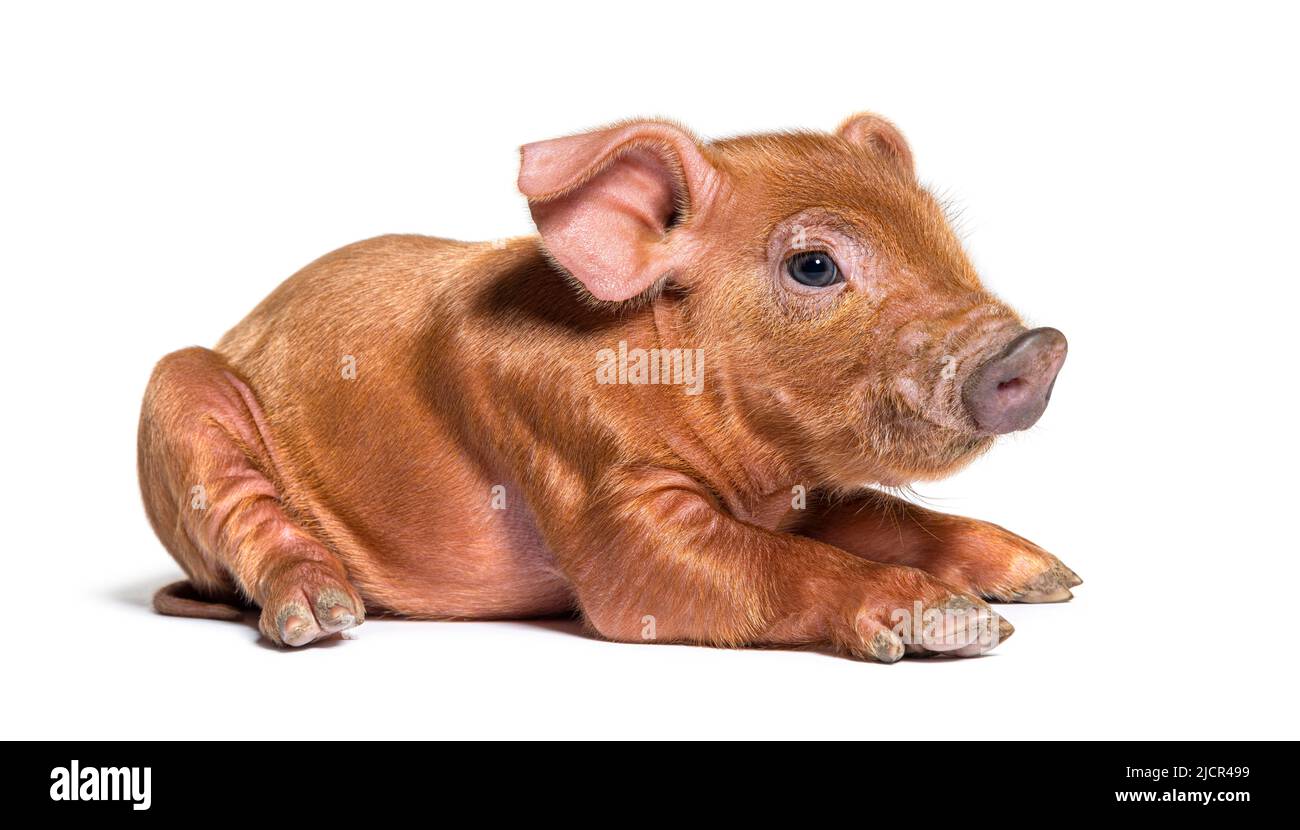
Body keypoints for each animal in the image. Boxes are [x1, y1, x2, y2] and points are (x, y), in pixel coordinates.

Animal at [138, 113, 1076, 661]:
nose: (1037, 345)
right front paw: (967, 627)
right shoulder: (586, 468)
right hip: (176, 398)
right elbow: (753, 566)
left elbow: (888, 515)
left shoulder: (805, 488)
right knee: (243, 510)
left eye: (939, 231)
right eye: (814, 265)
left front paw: (1050, 581)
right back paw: (324, 616)